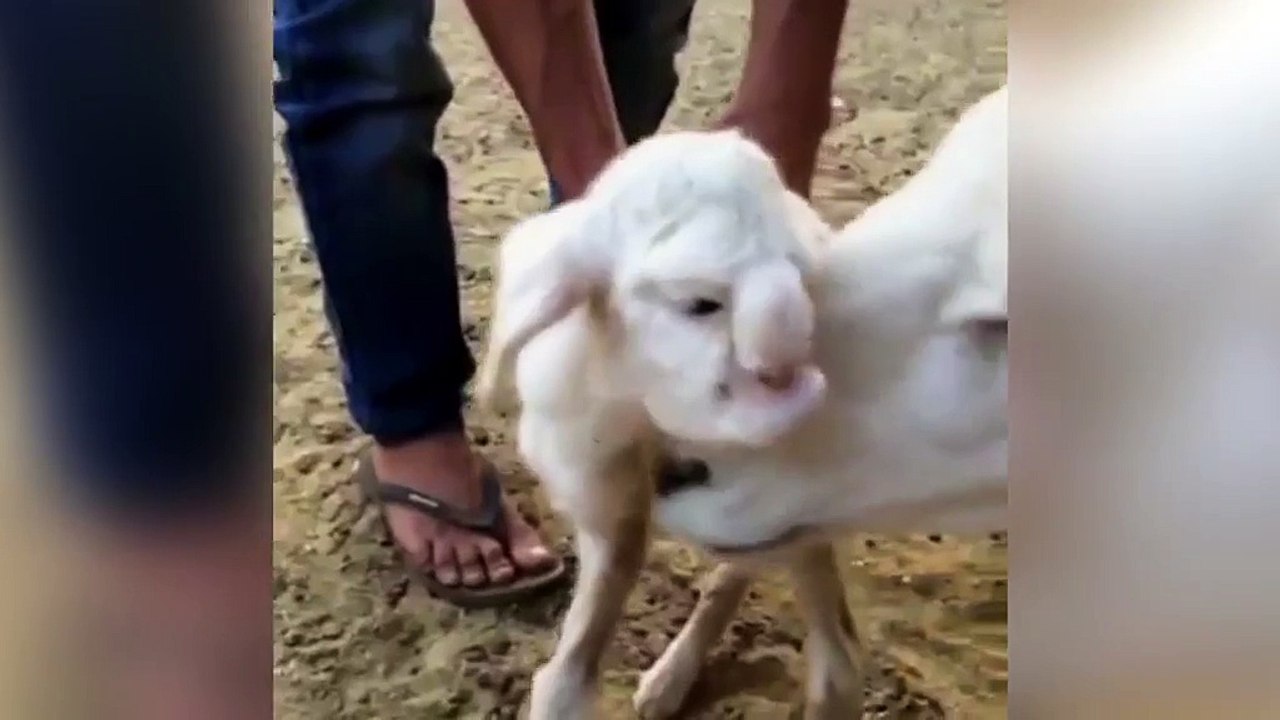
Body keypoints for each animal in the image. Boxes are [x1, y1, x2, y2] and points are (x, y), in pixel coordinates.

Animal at [476, 85, 1007, 720]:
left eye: (803, 283)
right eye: (698, 303)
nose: (780, 371)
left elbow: (834, 661)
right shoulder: (613, 493)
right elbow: (573, 663)